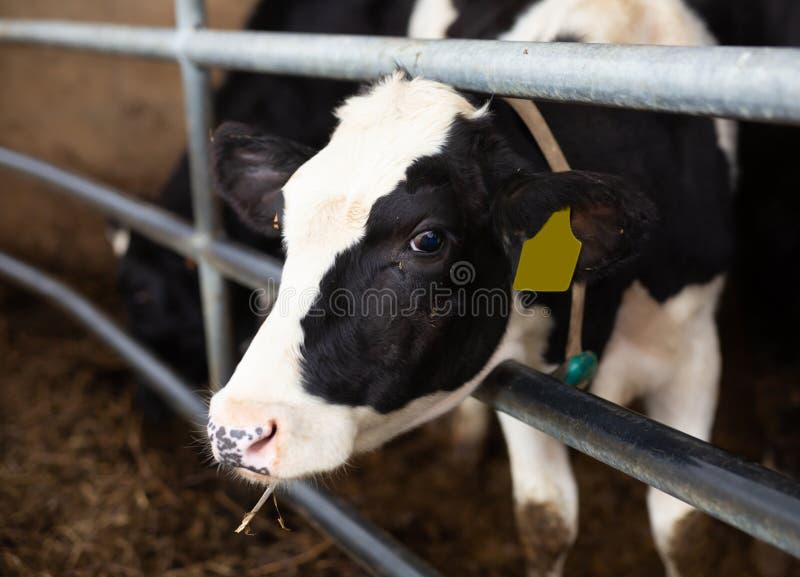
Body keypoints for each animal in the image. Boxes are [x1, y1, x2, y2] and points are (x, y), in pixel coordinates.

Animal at [205, 2, 737, 576]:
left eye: (428, 240)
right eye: (283, 221)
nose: (237, 429)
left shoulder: (695, 348)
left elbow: (683, 531)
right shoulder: (525, 369)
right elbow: (546, 518)